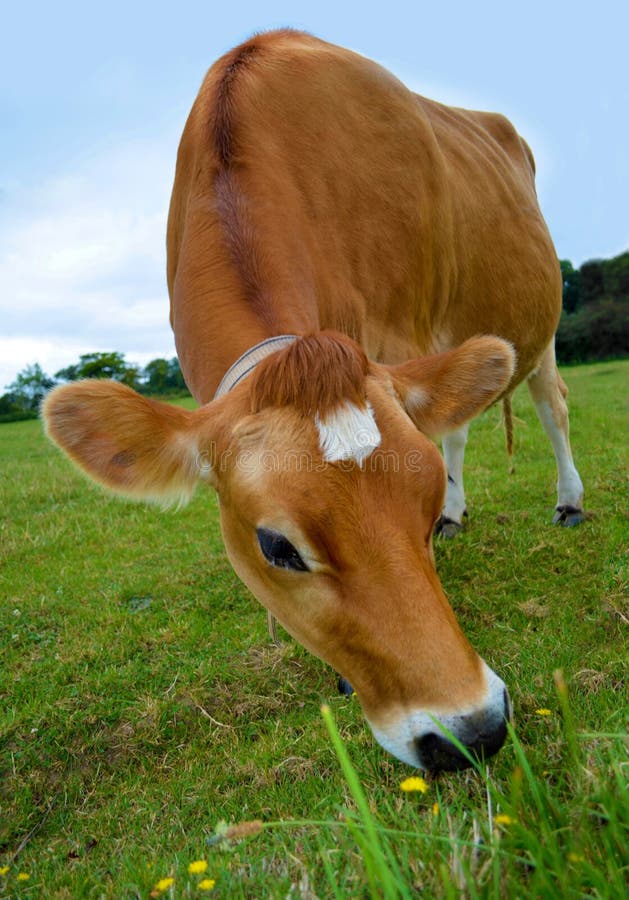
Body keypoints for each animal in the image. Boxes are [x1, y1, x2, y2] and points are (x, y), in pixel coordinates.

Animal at [43, 30, 584, 772]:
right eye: (277, 548)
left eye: (415, 509)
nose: (471, 730)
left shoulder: (409, 334)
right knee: (457, 429)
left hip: (541, 324)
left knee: (550, 406)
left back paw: (568, 501)